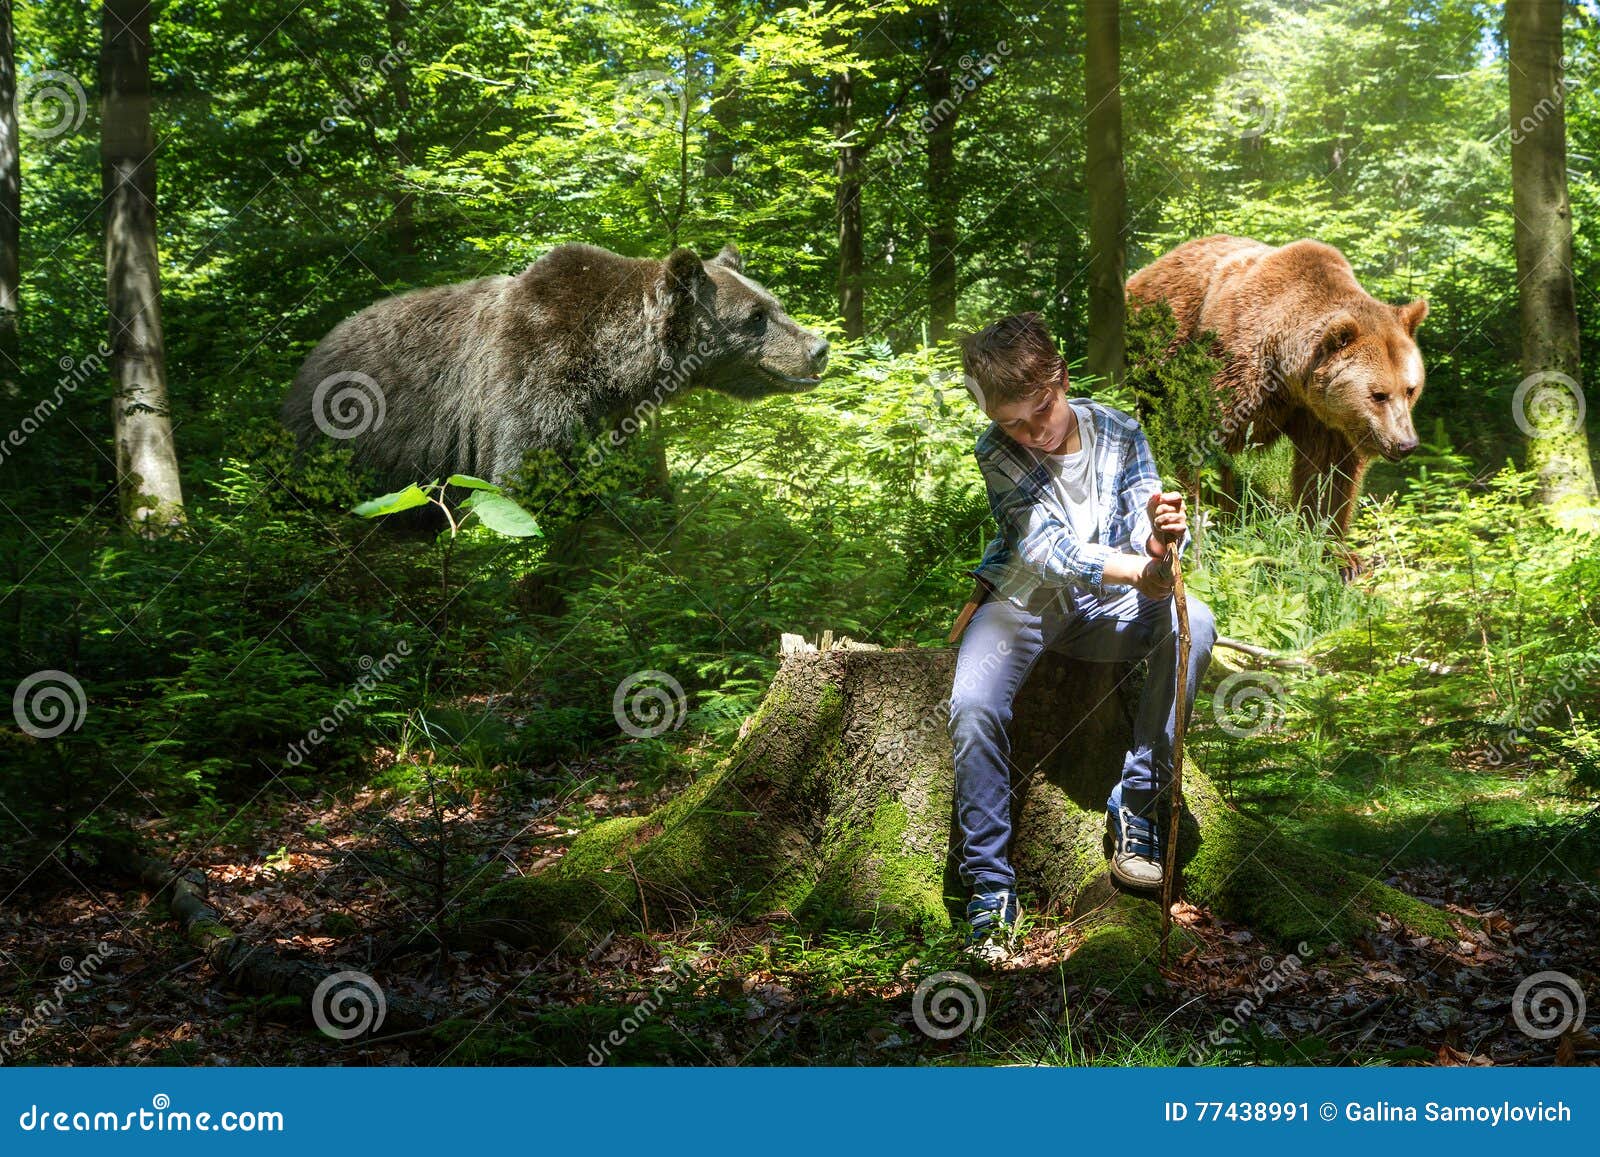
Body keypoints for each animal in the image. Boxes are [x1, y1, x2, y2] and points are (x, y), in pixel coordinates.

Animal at [280, 242, 829, 489]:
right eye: (756, 317)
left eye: (777, 305)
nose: (819, 346)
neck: (614, 363)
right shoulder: (530, 373)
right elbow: (526, 471)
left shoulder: (612, 414)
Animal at [1125, 234, 1427, 574]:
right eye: (1378, 394)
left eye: (1410, 389)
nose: (1405, 444)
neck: (1288, 374)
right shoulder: (1235, 372)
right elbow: (1200, 442)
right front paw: (1211, 518)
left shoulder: (1321, 416)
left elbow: (1327, 475)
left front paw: (1337, 554)